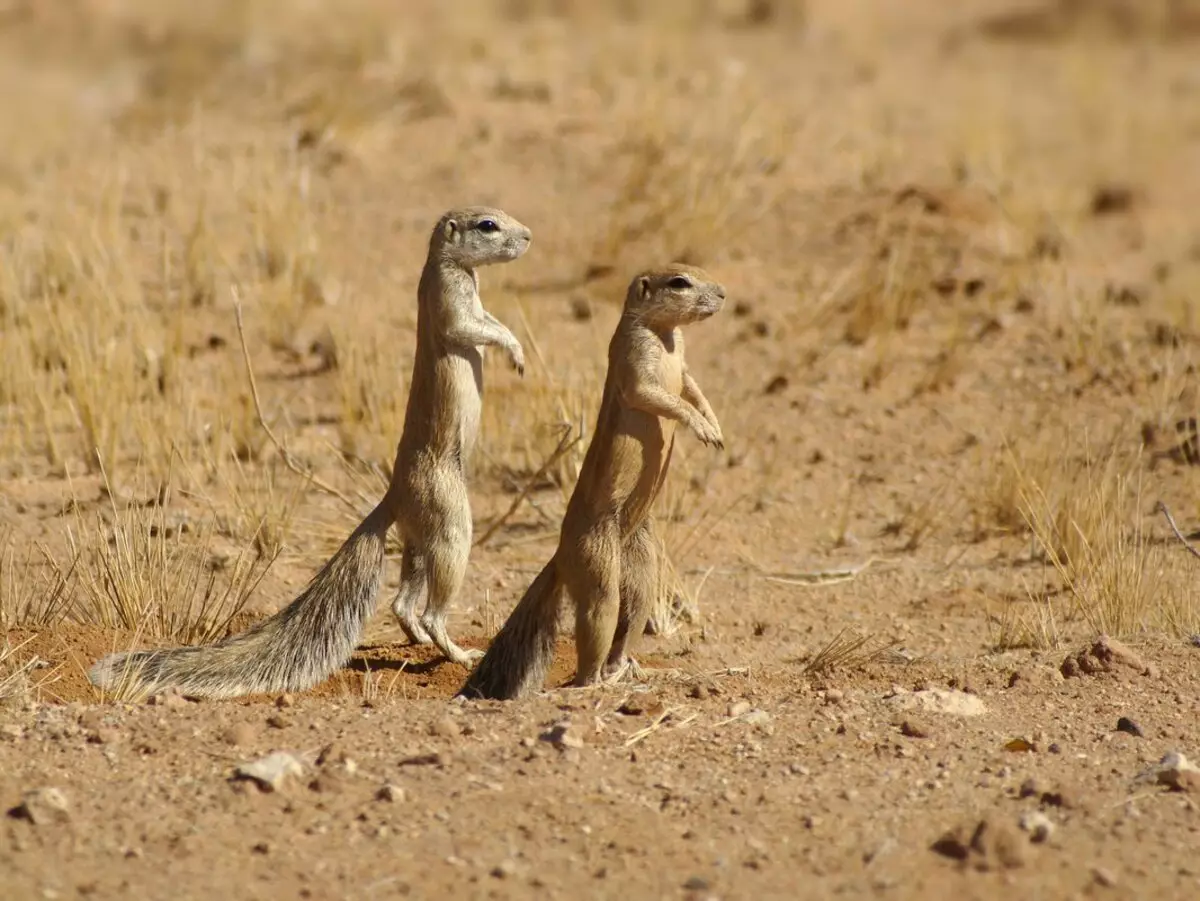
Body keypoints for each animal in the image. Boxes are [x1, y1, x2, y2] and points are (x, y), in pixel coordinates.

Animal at [96, 203, 537, 695]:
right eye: (488, 225)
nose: (529, 237)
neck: (451, 267)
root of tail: (394, 495)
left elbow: (491, 320)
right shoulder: (452, 302)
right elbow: (476, 328)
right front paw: (516, 352)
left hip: (421, 538)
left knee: (402, 603)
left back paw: (419, 641)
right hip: (451, 525)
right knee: (429, 609)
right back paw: (456, 653)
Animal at [456, 263, 720, 700]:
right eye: (680, 282)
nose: (723, 295)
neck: (665, 335)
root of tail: (560, 555)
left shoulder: (681, 367)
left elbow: (692, 387)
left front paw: (714, 426)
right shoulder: (636, 361)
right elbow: (660, 396)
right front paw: (700, 427)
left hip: (642, 565)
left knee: (632, 616)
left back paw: (631, 669)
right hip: (598, 566)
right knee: (596, 629)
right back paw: (597, 682)